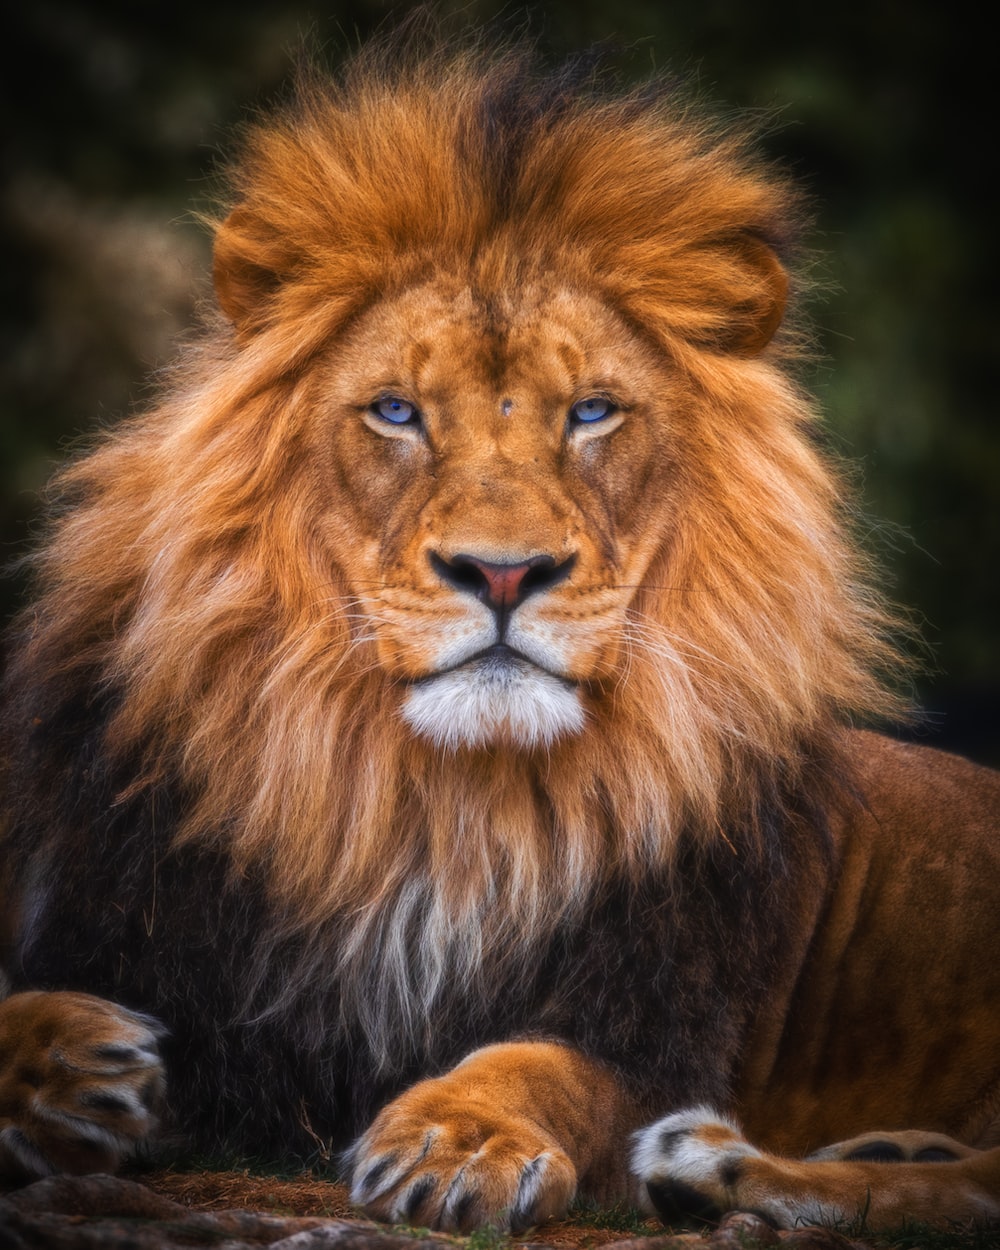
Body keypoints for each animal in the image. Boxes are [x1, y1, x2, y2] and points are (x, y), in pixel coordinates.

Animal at [2, 36, 1000, 1234]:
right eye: (395, 412)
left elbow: (542, 1065)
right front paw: (70, 1062)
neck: (433, 809)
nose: (504, 572)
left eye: (592, 412)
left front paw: (457, 1137)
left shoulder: (656, 1021)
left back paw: (716, 1163)